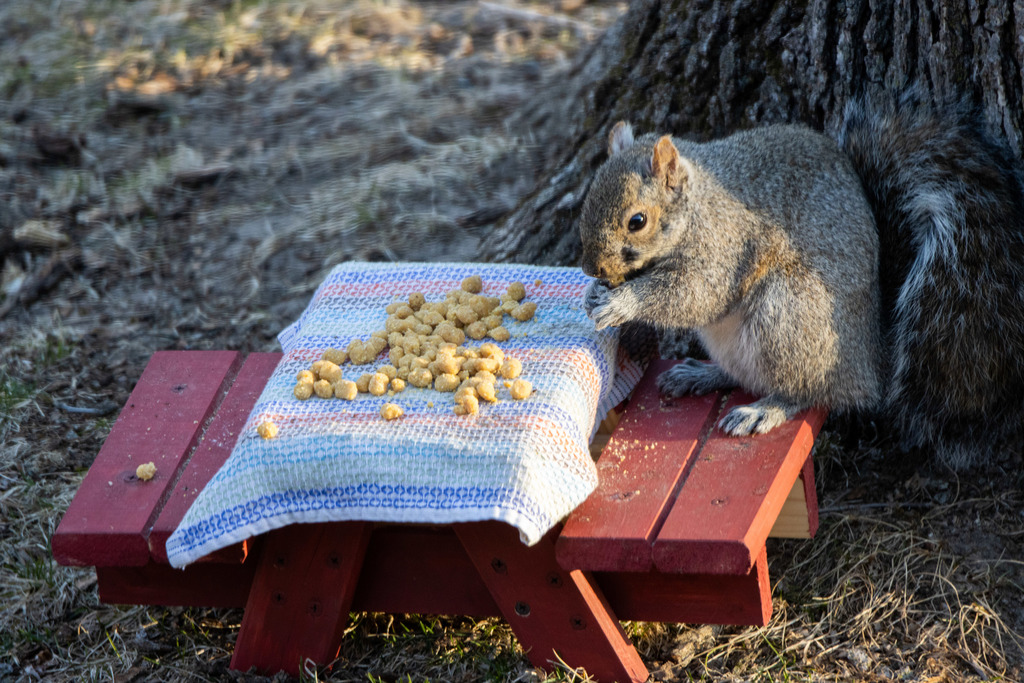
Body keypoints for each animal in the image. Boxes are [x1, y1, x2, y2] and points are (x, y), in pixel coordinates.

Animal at [579, 90, 1024, 470]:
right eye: (588, 200)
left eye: (637, 221)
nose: (591, 269)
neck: (698, 204)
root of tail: (870, 365)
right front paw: (593, 294)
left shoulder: (723, 246)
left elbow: (692, 295)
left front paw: (620, 303)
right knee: (746, 375)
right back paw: (702, 374)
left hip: (787, 316)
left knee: (809, 393)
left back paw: (764, 409)